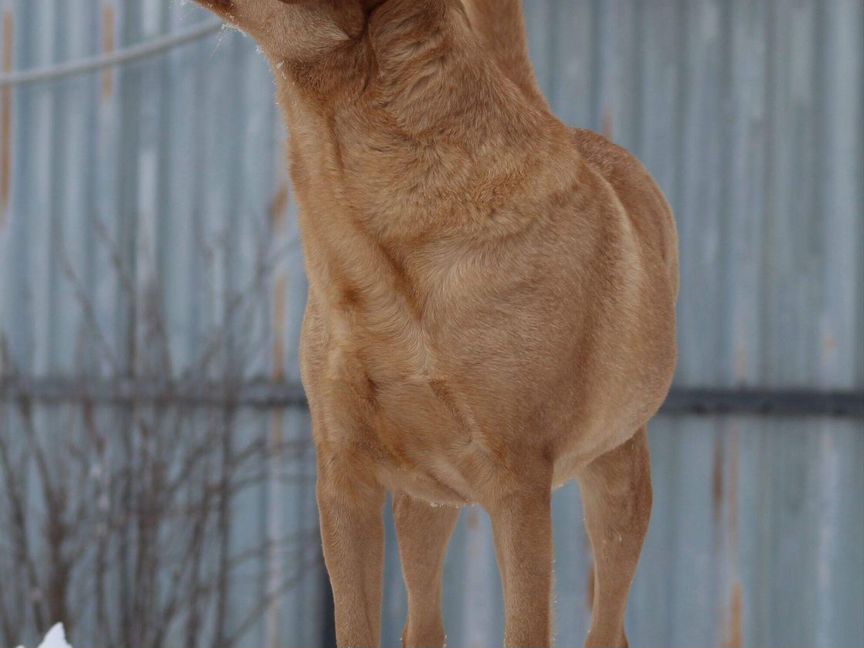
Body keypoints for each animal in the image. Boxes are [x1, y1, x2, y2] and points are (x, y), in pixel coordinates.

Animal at [192, 2, 680, 644]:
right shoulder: (345, 483)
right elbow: (354, 624)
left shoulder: (519, 488)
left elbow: (527, 625)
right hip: (425, 504)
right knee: (424, 622)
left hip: (617, 484)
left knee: (608, 622)